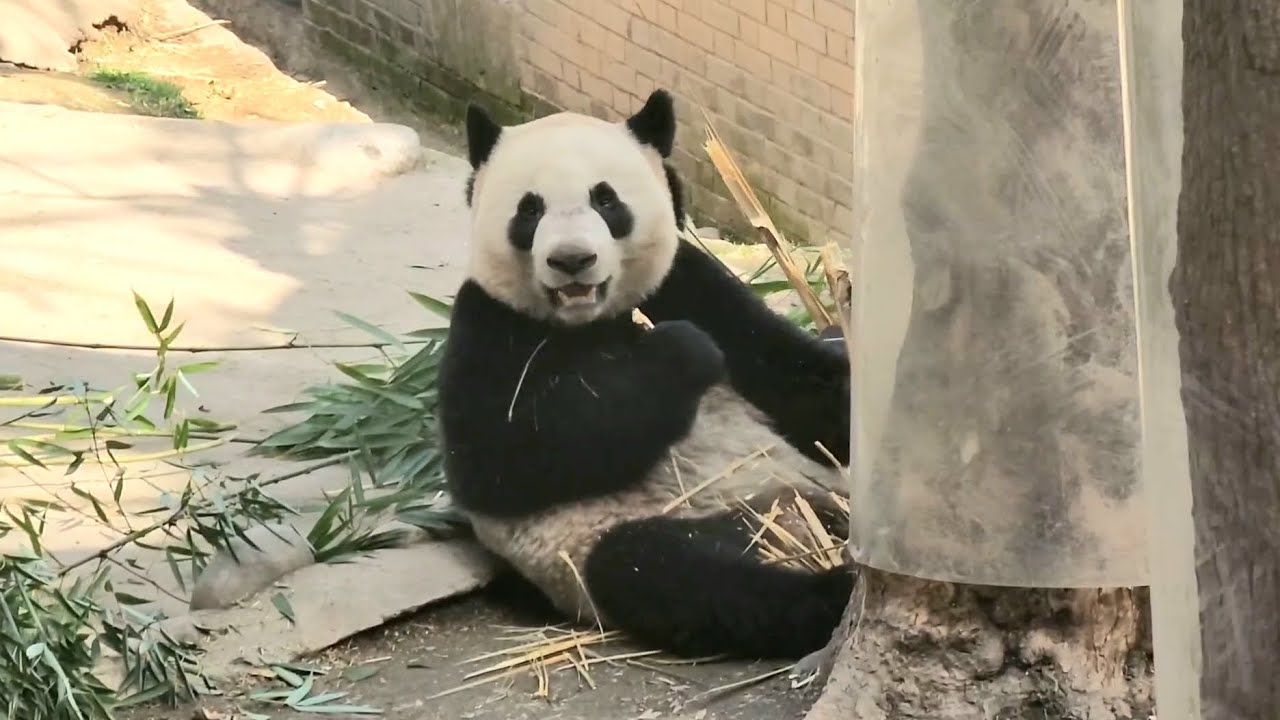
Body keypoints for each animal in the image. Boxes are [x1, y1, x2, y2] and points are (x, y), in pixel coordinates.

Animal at [438, 88, 855, 661]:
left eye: (606, 201)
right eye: (530, 209)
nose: (572, 259)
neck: (593, 320)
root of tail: (791, 511)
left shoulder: (690, 284)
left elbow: (800, 380)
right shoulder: (489, 323)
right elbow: (498, 459)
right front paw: (684, 350)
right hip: (618, 534)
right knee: (676, 573)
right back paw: (828, 592)